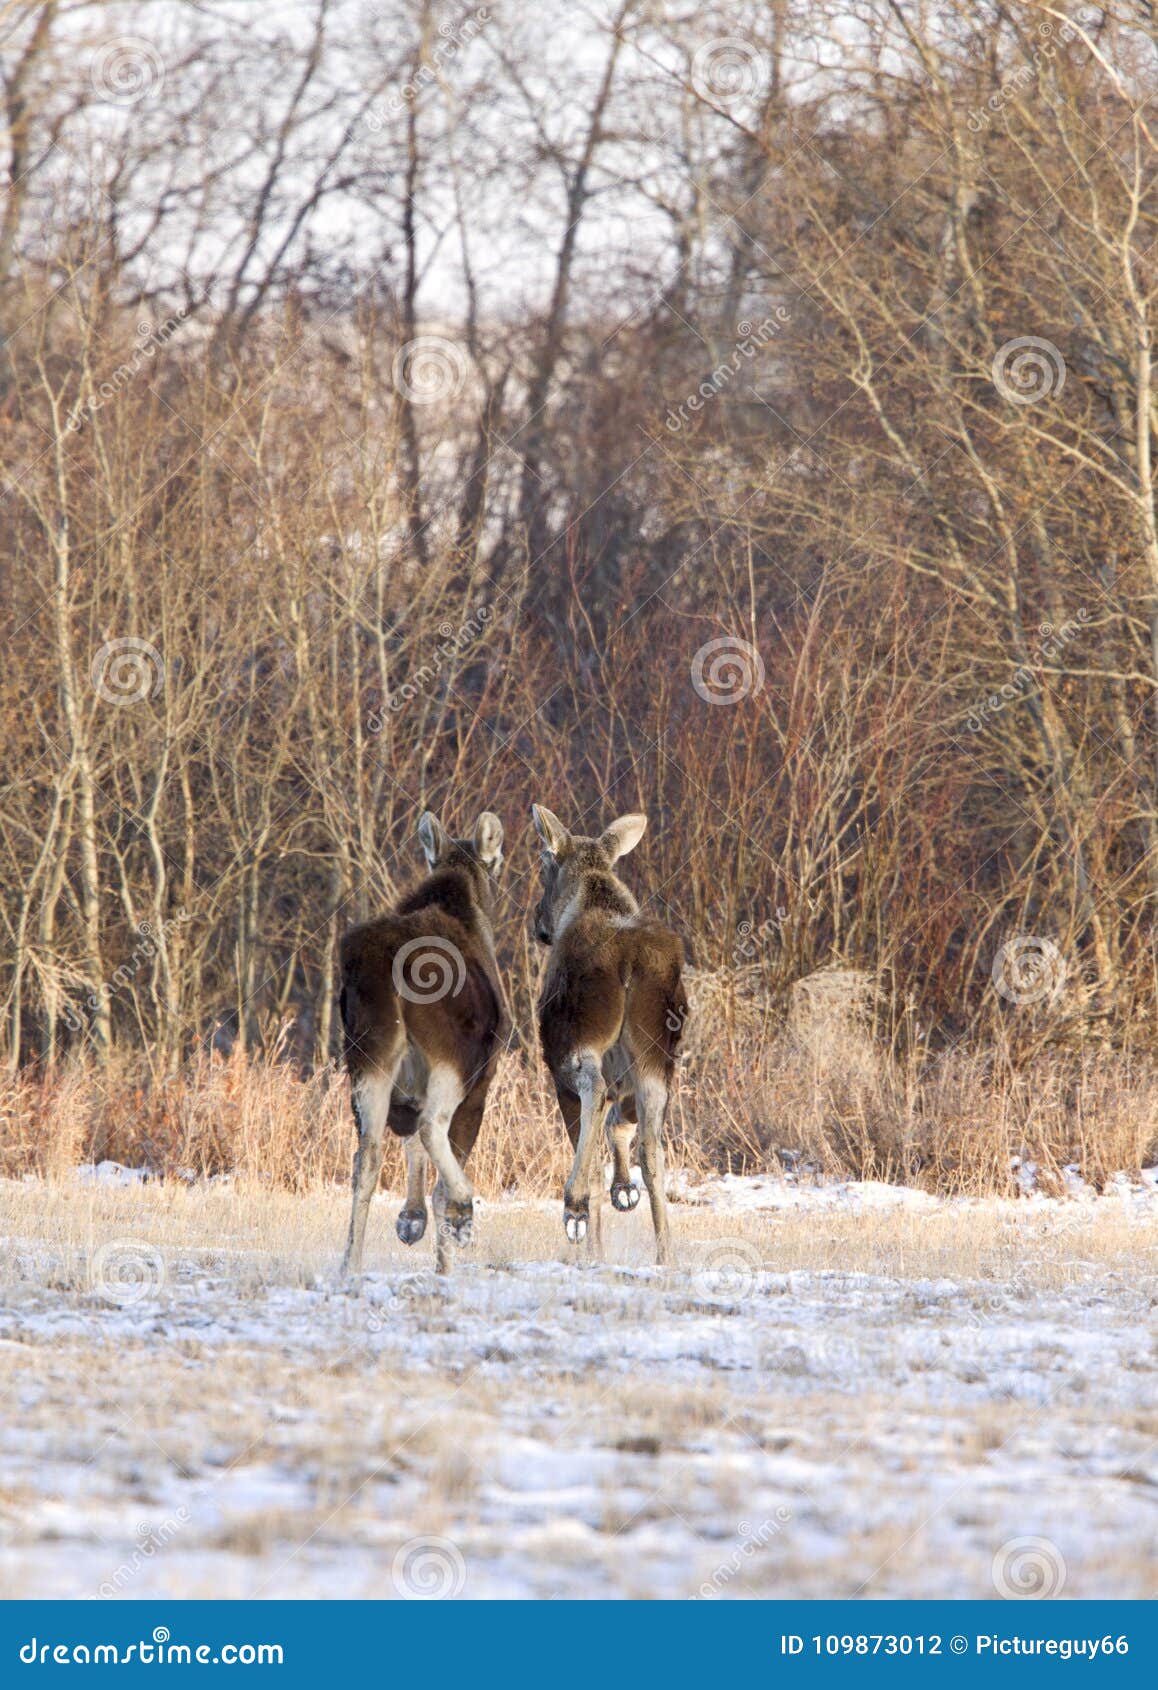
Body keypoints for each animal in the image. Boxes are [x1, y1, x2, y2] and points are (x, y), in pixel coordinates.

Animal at [338, 810, 506, 1277]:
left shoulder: (406, 1090)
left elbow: (409, 1150)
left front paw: (409, 1220)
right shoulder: (482, 1081)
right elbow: (436, 1163)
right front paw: (444, 1259)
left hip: (368, 1059)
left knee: (366, 1156)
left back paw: (349, 1263)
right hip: (454, 1060)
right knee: (433, 1127)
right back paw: (465, 1211)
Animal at [531, 805, 687, 1264]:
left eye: (544, 866)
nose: (539, 922)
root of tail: (630, 960)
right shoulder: (633, 1072)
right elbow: (623, 1125)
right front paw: (624, 1189)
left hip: (573, 1044)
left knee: (595, 1093)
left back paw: (576, 1207)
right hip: (656, 1053)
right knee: (653, 1149)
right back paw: (665, 1253)